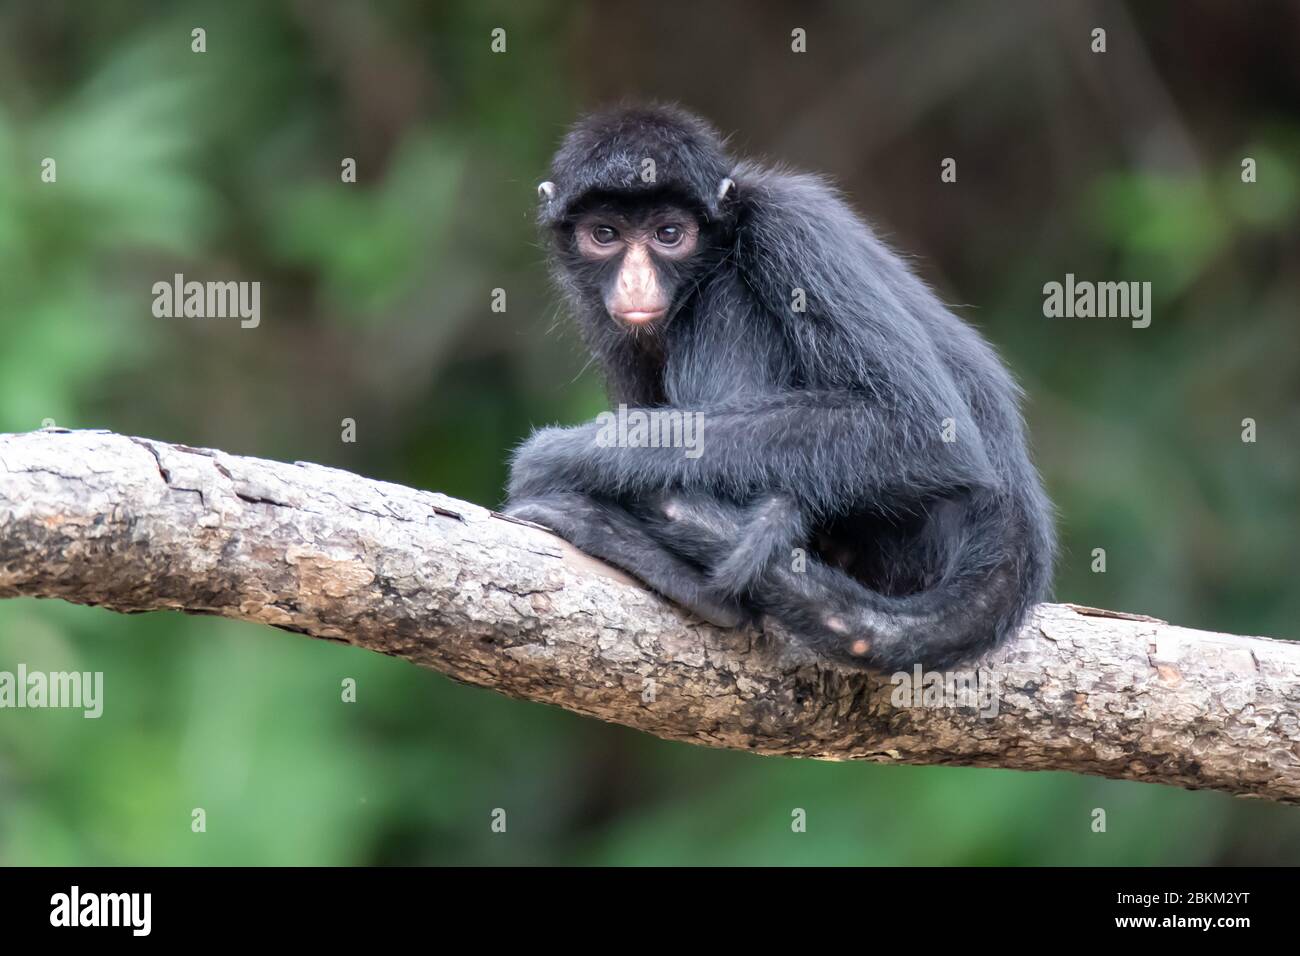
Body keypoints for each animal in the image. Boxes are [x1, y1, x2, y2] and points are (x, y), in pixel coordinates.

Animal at [505, 104, 1055, 672]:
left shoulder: (792, 222)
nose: (636, 282)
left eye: (669, 234)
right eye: (606, 234)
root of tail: (1016, 517)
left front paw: (558, 458)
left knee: (725, 290)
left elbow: (927, 432)